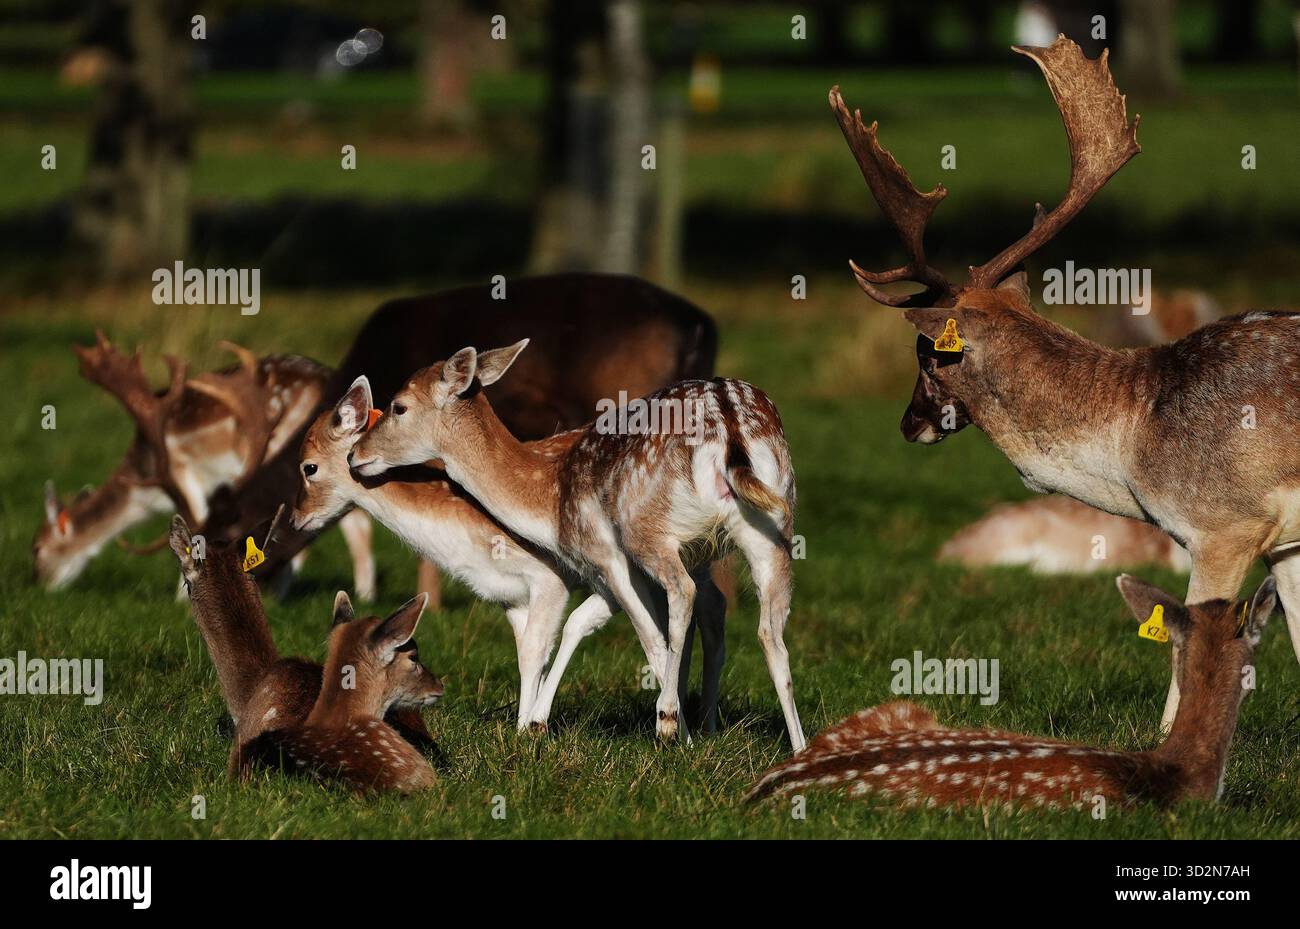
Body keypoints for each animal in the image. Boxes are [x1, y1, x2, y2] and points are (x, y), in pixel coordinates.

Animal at [293, 377, 729, 732]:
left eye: (308, 467)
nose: (296, 519)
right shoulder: (510, 597)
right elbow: (525, 655)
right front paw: (523, 725)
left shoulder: (550, 578)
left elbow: (538, 650)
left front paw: (526, 731)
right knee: (710, 606)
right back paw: (703, 722)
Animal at [348, 341, 806, 749]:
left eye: (399, 406)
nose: (355, 453)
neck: (550, 502)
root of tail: (730, 423)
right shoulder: (603, 575)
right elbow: (578, 623)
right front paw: (535, 722)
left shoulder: (605, 555)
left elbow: (645, 636)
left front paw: (679, 732)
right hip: (772, 528)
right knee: (766, 630)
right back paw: (795, 747)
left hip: (648, 530)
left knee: (684, 596)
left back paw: (669, 722)